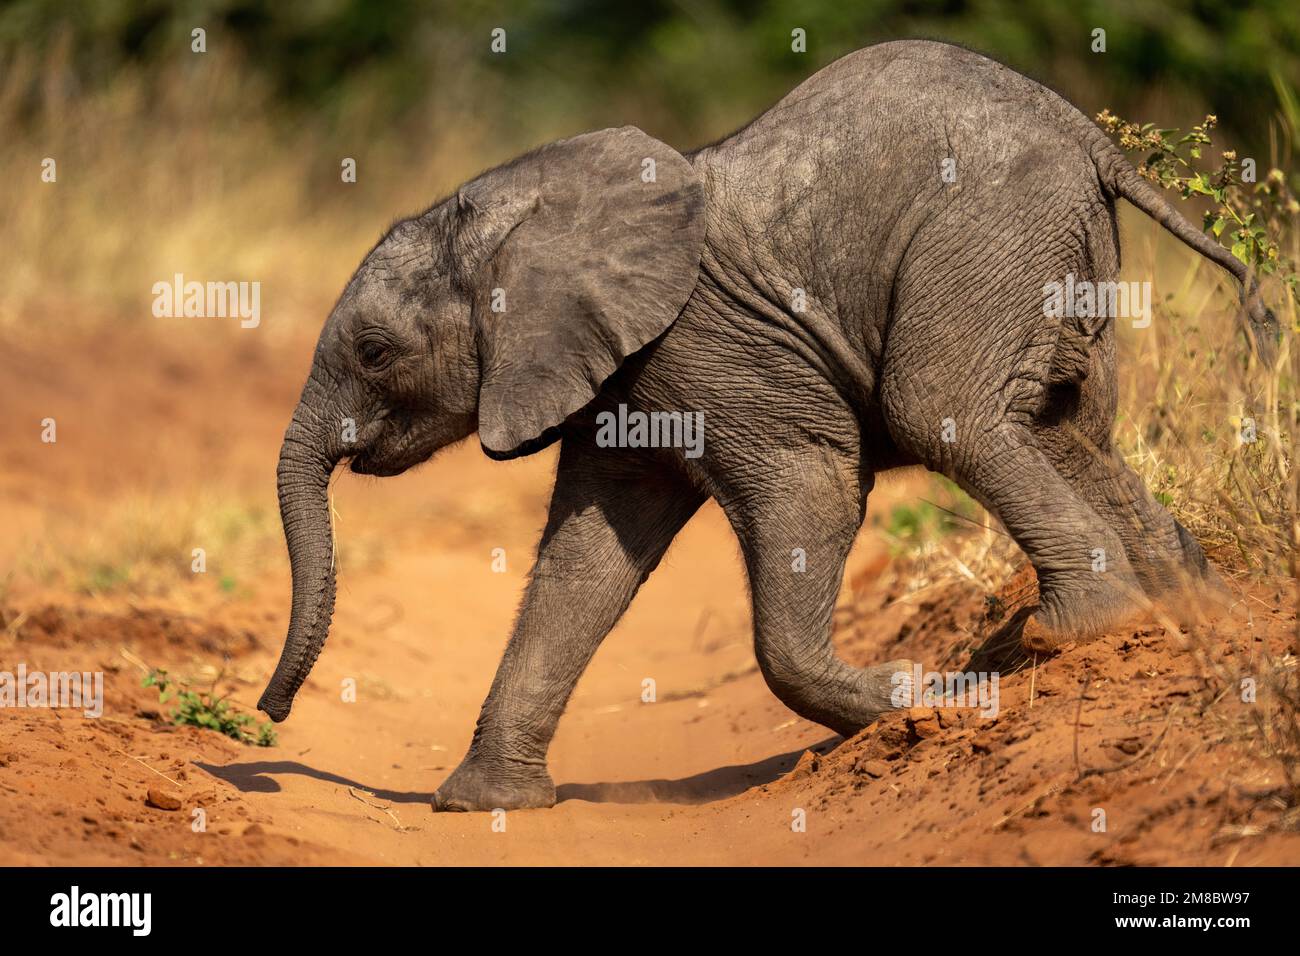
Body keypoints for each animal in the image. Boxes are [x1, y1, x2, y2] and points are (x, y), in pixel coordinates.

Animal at [257, 39, 1274, 811]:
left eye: (376, 352)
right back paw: (1192, 617)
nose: (268, 718)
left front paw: (920, 694)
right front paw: (482, 805)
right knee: (1070, 431)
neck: (519, 210)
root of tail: (1094, 141)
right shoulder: (624, 374)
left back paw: (1068, 635)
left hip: (990, 229)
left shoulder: (712, 349)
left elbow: (809, 485)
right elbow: (589, 555)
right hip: (1050, 258)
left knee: (940, 407)